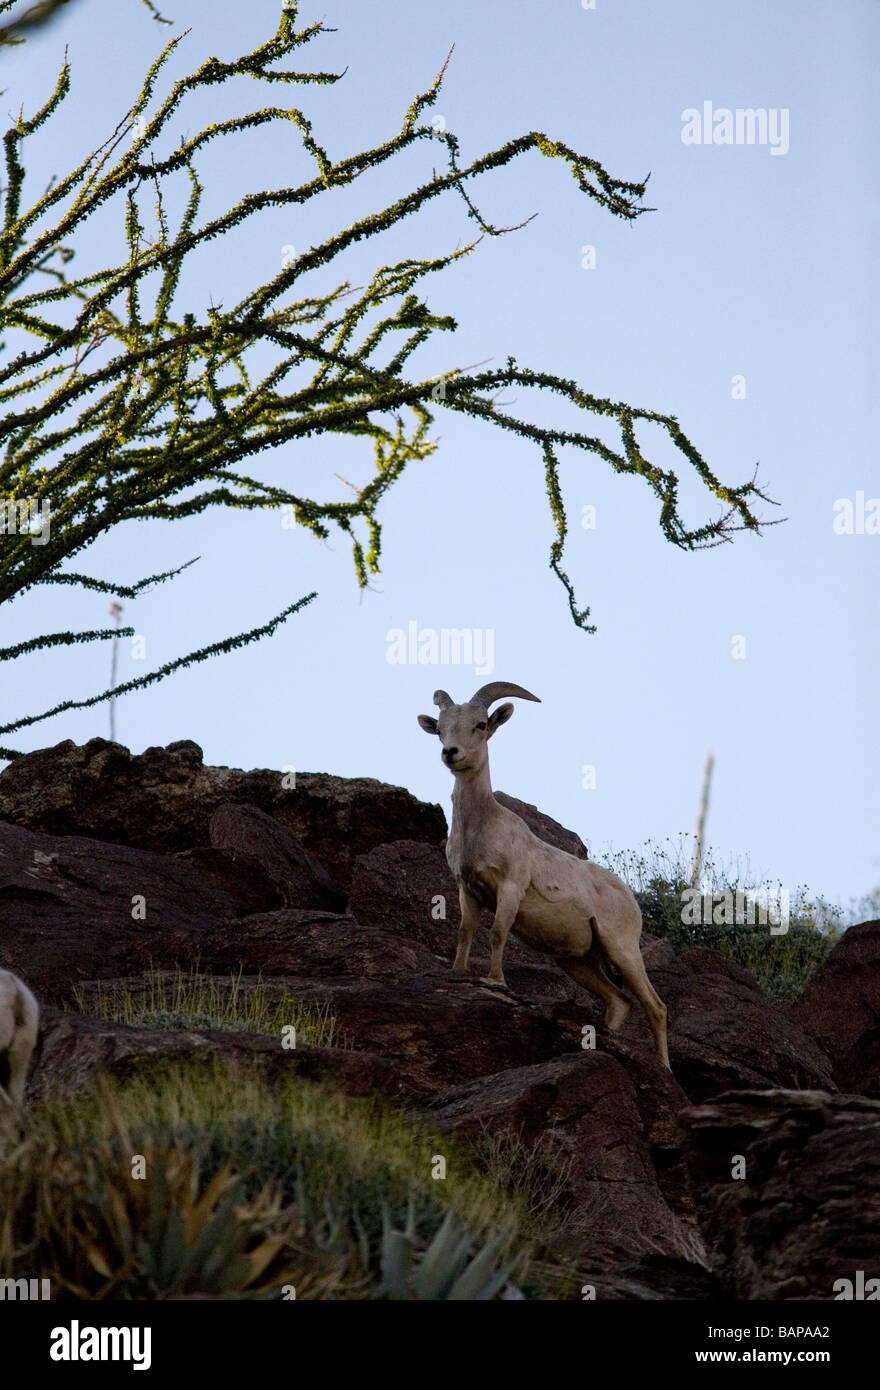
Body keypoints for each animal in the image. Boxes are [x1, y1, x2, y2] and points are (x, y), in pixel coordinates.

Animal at [418, 682, 670, 1069]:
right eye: (442, 728)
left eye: (480, 725)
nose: (451, 753)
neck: (482, 829)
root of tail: (631, 900)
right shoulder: (468, 890)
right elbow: (466, 931)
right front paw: (459, 974)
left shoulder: (510, 888)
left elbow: (496, 933)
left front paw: (496, 981)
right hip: (577, 961)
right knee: (620, 1001)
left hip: (623, 950)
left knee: (655, 1007)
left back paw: (664, 1066)